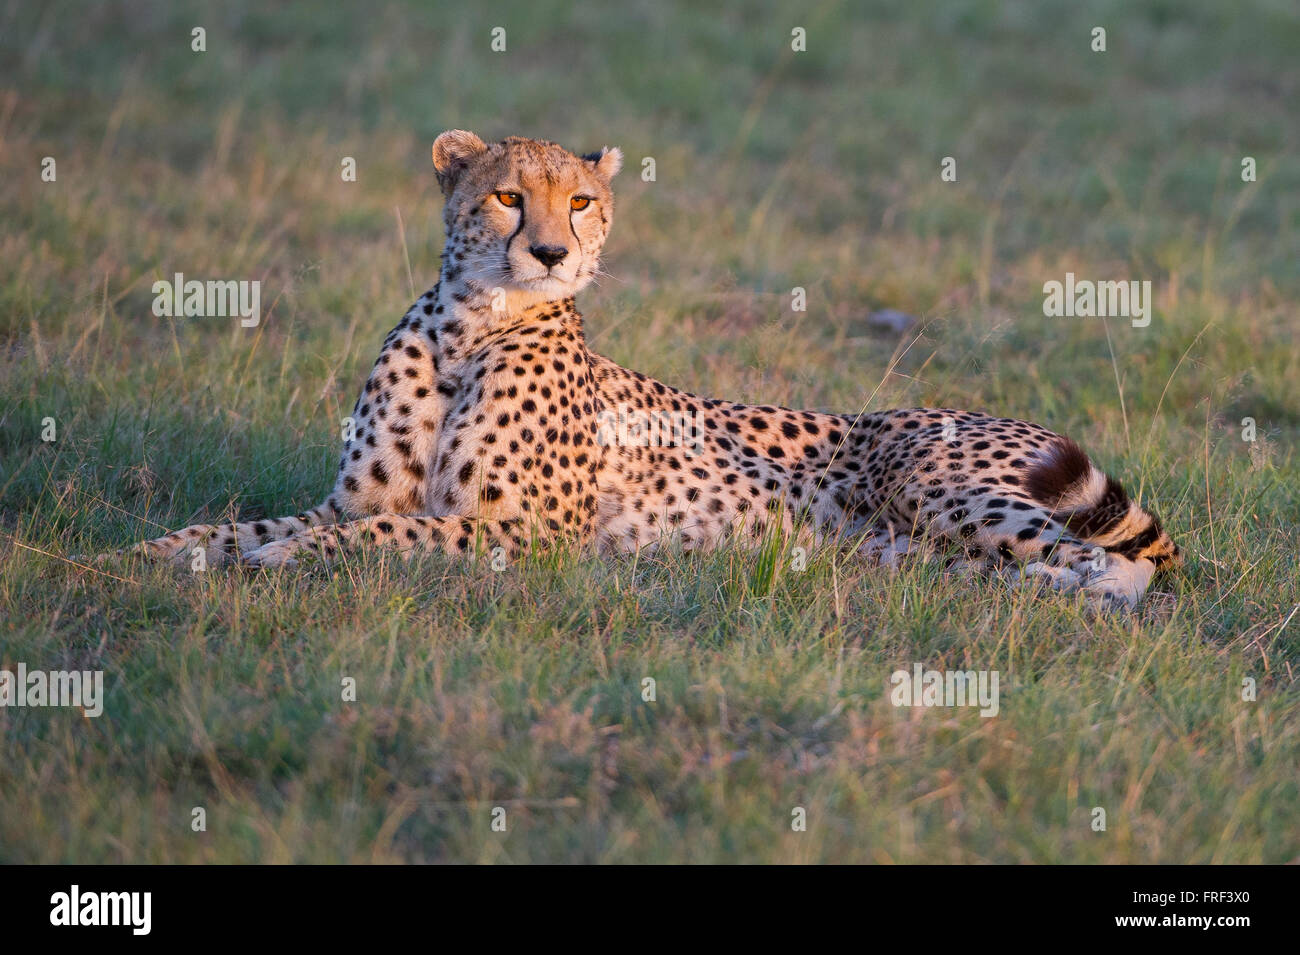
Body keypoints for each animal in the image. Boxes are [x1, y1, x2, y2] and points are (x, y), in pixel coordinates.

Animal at [100, 130, 1181, 608]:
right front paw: (148, 554)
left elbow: (374, 539)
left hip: (933, 480)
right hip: (909, 539)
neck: (469, 327)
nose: (548, 252)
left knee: (1117, 563)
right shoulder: (352, 497)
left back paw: (1083, 596)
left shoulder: (529, 535)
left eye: (579, 201)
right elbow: (255, 524)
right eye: (506, 196)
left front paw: (286, 563)